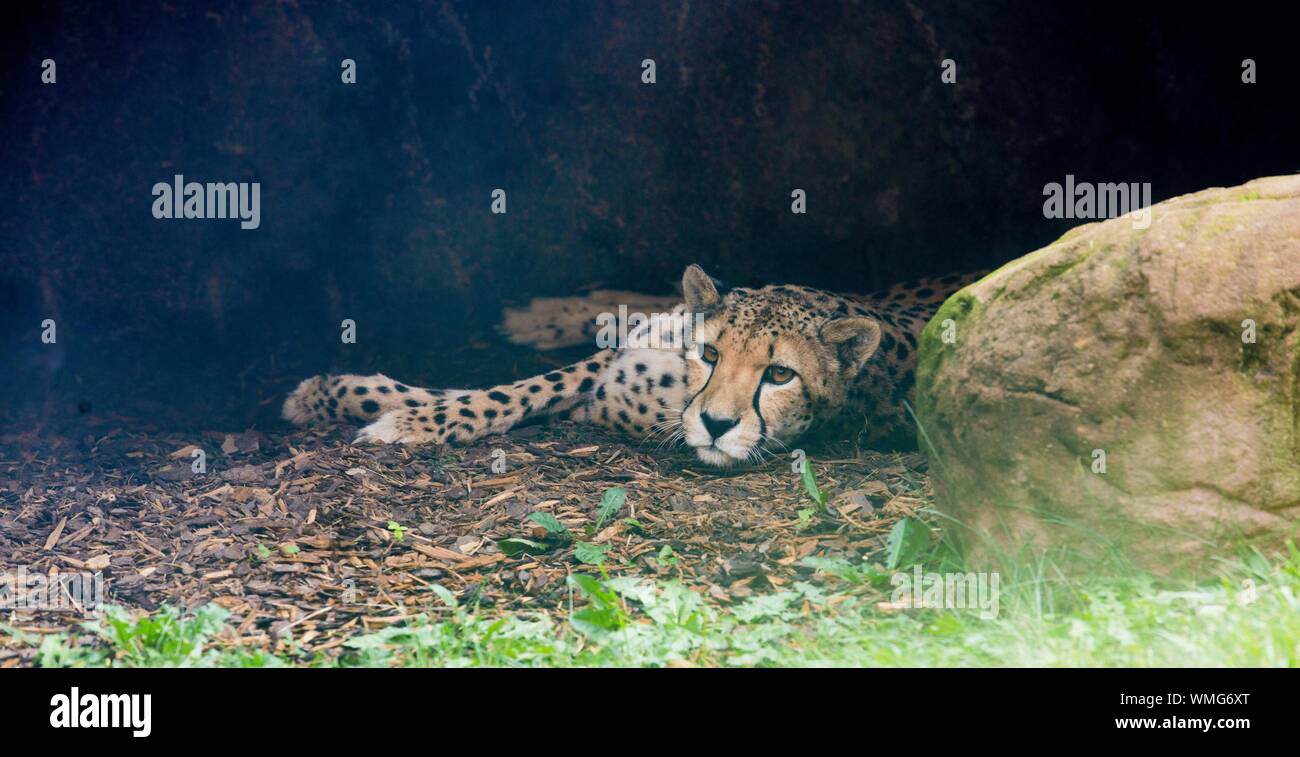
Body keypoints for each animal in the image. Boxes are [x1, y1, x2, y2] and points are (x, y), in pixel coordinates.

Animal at [282, 264, 981, 467]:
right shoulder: (610, 363)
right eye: (712, 353)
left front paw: (400, 419)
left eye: (780, 375)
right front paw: (332, 394)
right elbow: (509, 388)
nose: (718, 425)